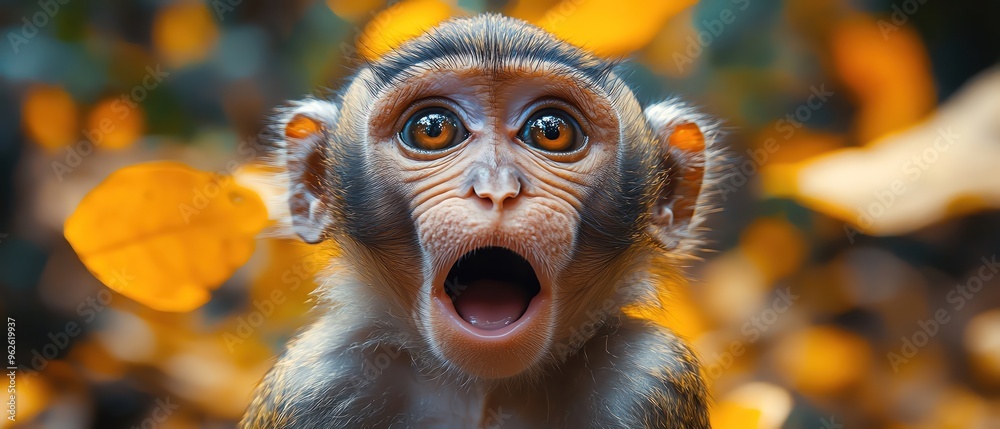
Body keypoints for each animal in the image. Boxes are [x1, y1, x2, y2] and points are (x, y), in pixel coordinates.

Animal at [242, 14, 722, 429]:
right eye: (432, 129)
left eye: (552, 131)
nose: (496, 189)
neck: (483, 389)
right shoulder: (314, 382)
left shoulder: (649, 374)